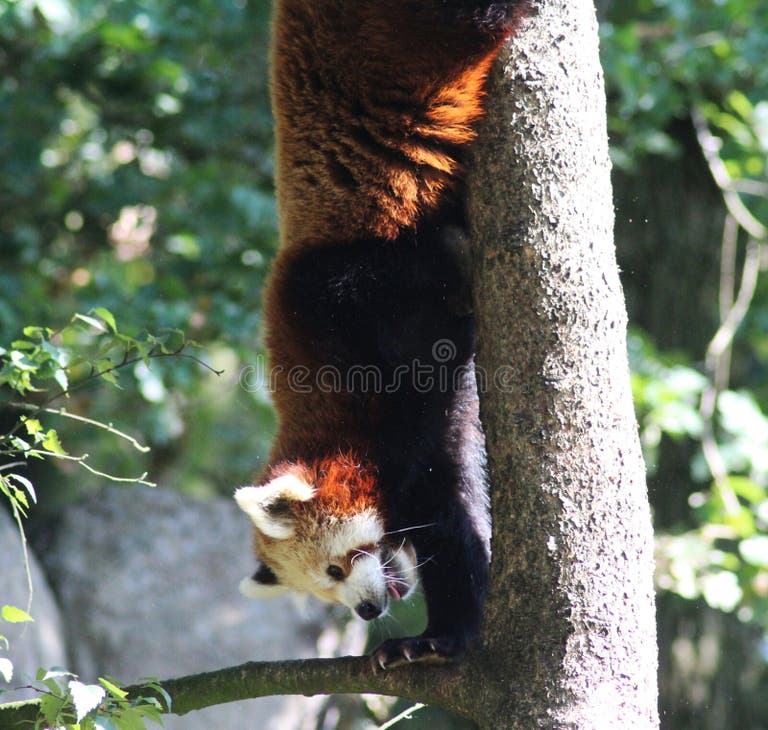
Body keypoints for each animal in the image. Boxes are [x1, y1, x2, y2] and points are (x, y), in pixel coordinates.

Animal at [235, 0, 529, 669]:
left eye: (337, 568)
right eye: (326, 591)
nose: (368, 613)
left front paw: (441, 635)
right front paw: (436, 635)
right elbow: (454, 521)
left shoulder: (354, 305)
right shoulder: (432, 441)